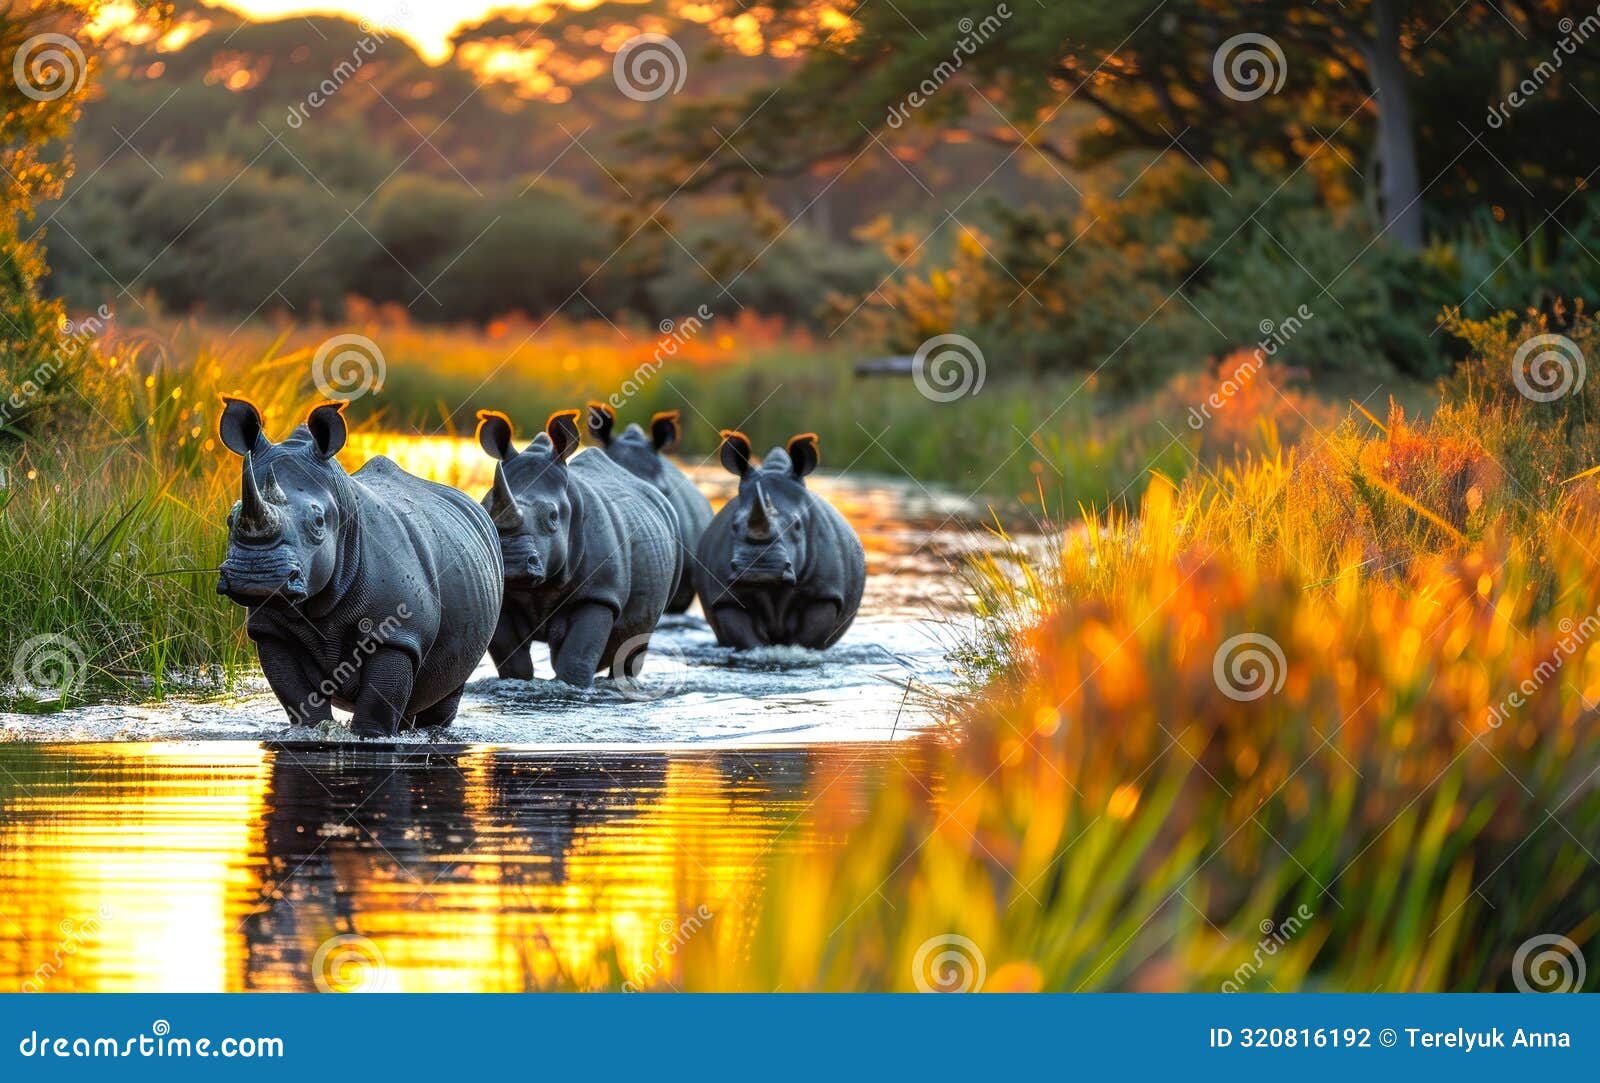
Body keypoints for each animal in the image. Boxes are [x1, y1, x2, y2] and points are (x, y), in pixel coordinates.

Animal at [215, 398, 502, 736]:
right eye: (230, 518)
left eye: (318, 521)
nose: (255, 575)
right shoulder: (272, 631)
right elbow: (296, 695)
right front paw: (313, 730)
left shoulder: (398, 633)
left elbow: (379, 699)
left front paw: (370, 735)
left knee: (446, 689)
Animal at [477, 408, 681, 687]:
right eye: (487, 510)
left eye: (553, 517)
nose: (511, 562)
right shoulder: (503, 596)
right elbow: (514, 664)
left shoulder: (599, 594)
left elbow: (575, 662)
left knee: (637, 639)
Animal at [693, 431, 865, 649]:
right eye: (733, 525)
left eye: (798, 525)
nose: (760, 570)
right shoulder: (726, 597)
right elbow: (746, 638)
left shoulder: (825, 593)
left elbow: (808, 639)